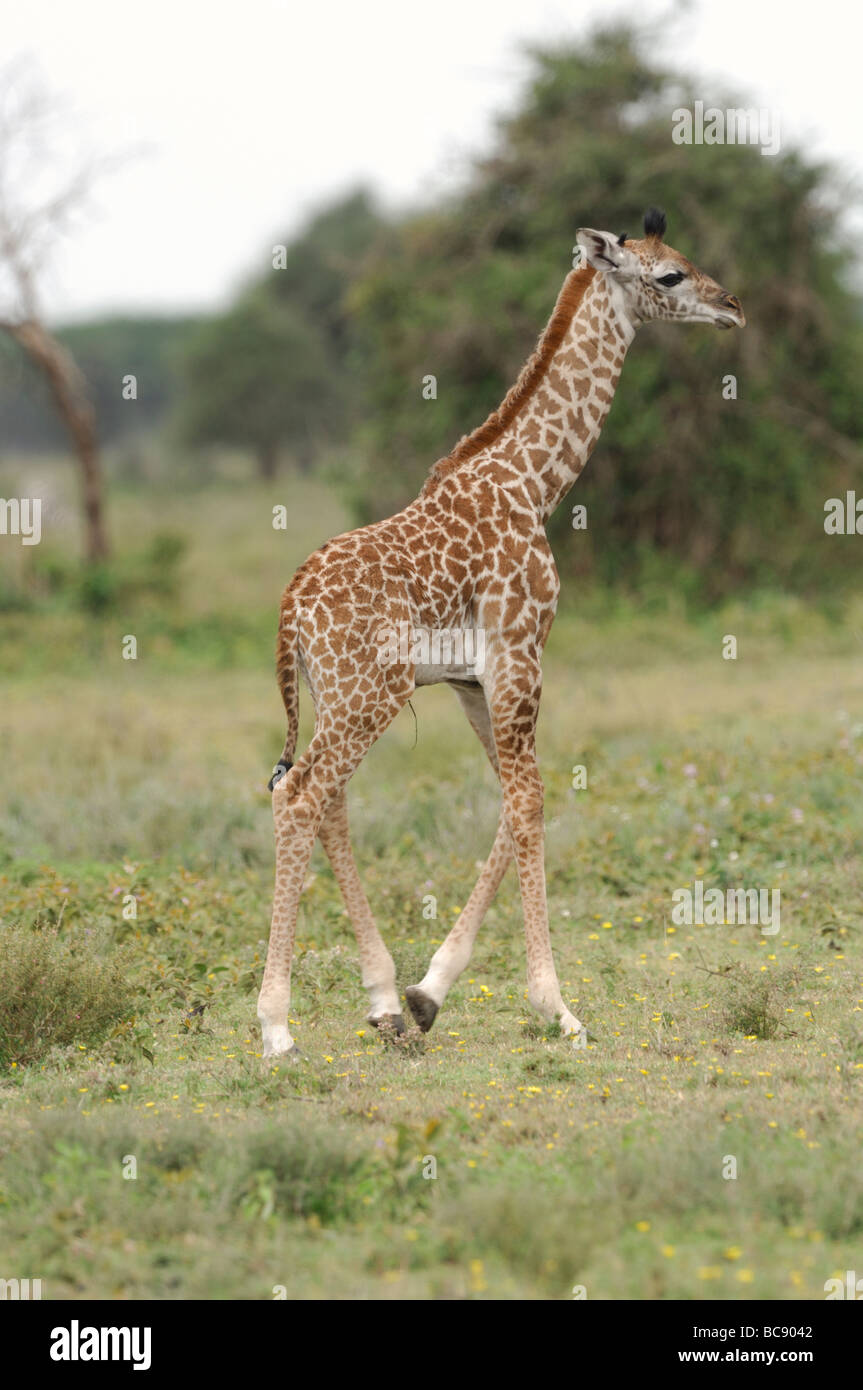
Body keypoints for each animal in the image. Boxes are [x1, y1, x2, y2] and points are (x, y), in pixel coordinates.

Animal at [258, 207, 744, 1058]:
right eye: (669, 274)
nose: (731, 305)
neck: (534, 484)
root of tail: (291, 607)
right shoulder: (522, 656)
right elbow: (532, 801)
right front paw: (554, 1006)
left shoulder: (471, 681)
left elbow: (512, 804)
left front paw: (423, 994)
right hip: (368, 694)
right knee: (302, 795)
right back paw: (277, 1028)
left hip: (336, 697)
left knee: (323, 797)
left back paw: (380, 1001)